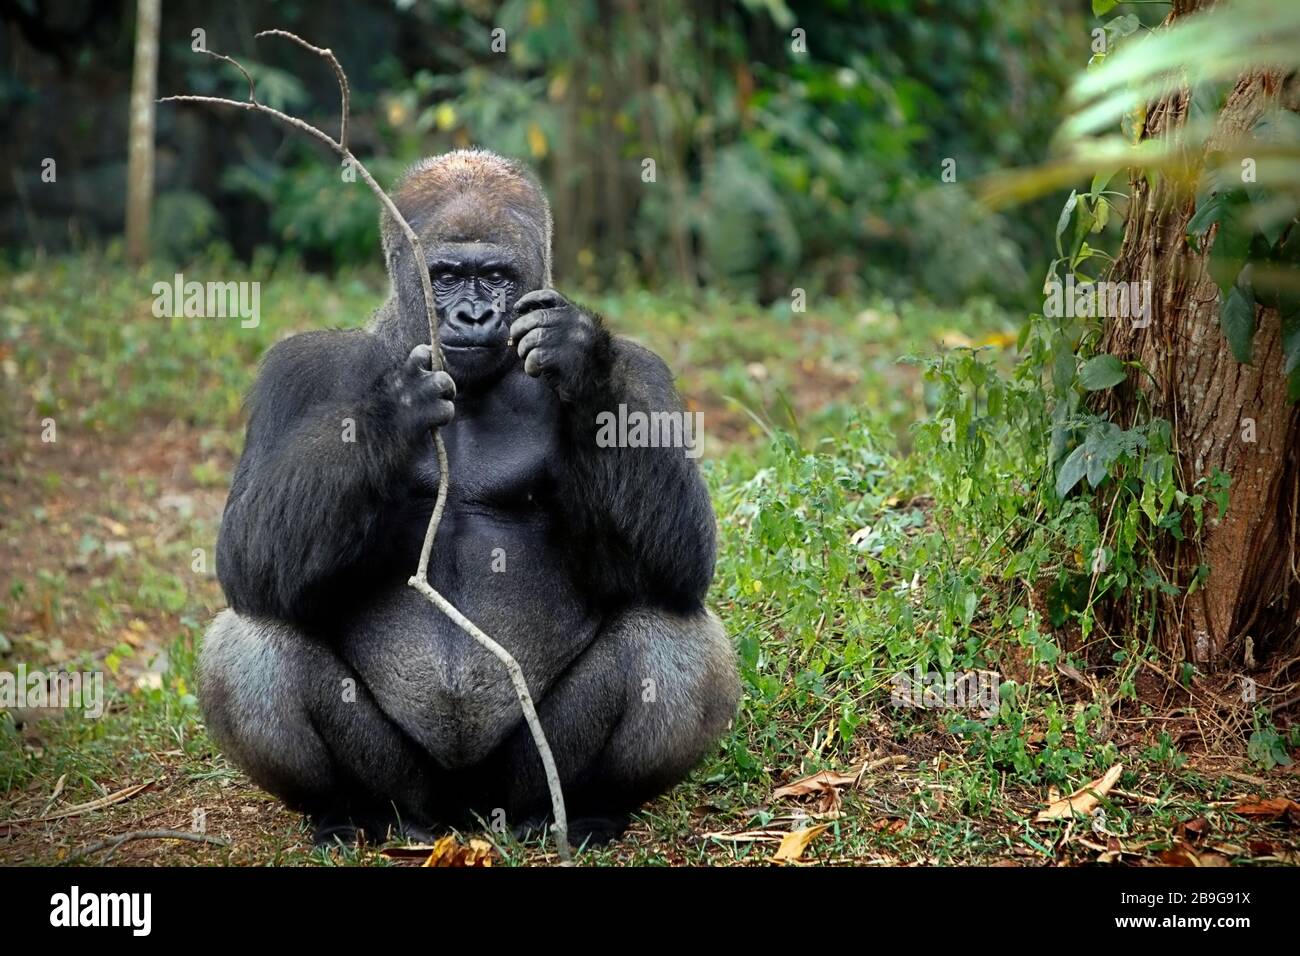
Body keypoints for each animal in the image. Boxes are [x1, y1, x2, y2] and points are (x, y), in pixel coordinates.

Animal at [197, 149, 740, 845]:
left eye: (497, 277)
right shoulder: (296, 369)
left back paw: (589, 806)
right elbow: (247, 554)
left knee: (669, 633)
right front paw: (393, 409)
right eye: (448, 276)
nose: (473, 318)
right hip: (412, 789)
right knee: (255, 640)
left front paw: (579, 356)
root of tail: (463, 814)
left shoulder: (644, 371)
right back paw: (352, 810)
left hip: (522, 780)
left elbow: (680, 563)